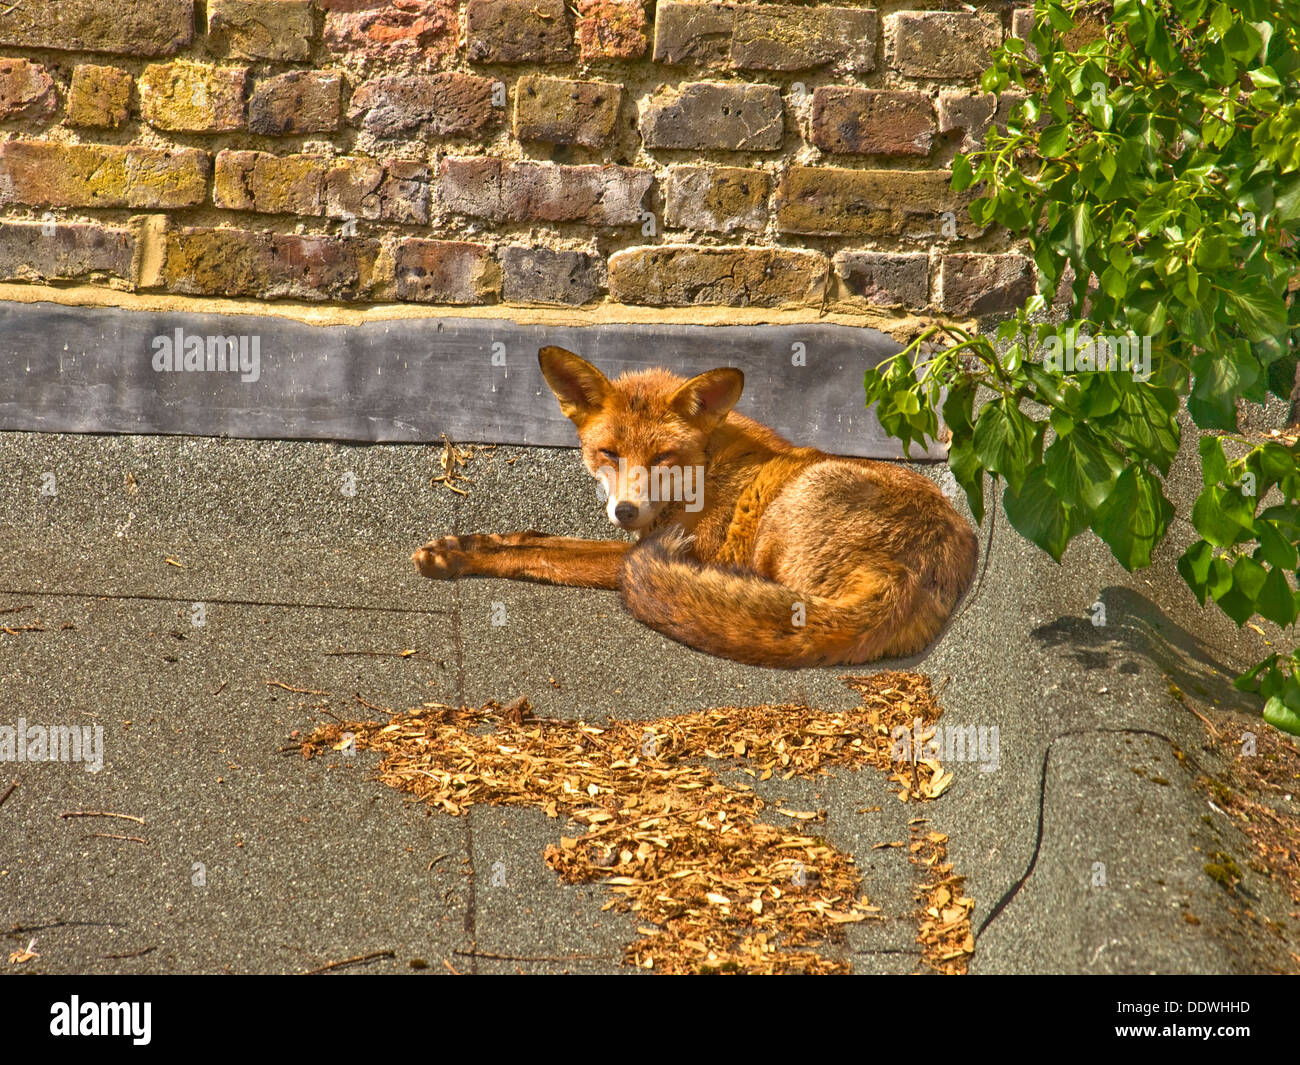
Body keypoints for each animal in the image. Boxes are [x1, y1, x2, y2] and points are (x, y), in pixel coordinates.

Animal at [412, 346, 979, 668]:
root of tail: (908, 576)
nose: (624, 512)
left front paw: (462, 558)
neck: (705, 472)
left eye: (663, 456)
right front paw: (464, 543)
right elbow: (535, 537)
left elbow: (542, 555)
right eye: (608, 453)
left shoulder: (650, 548)